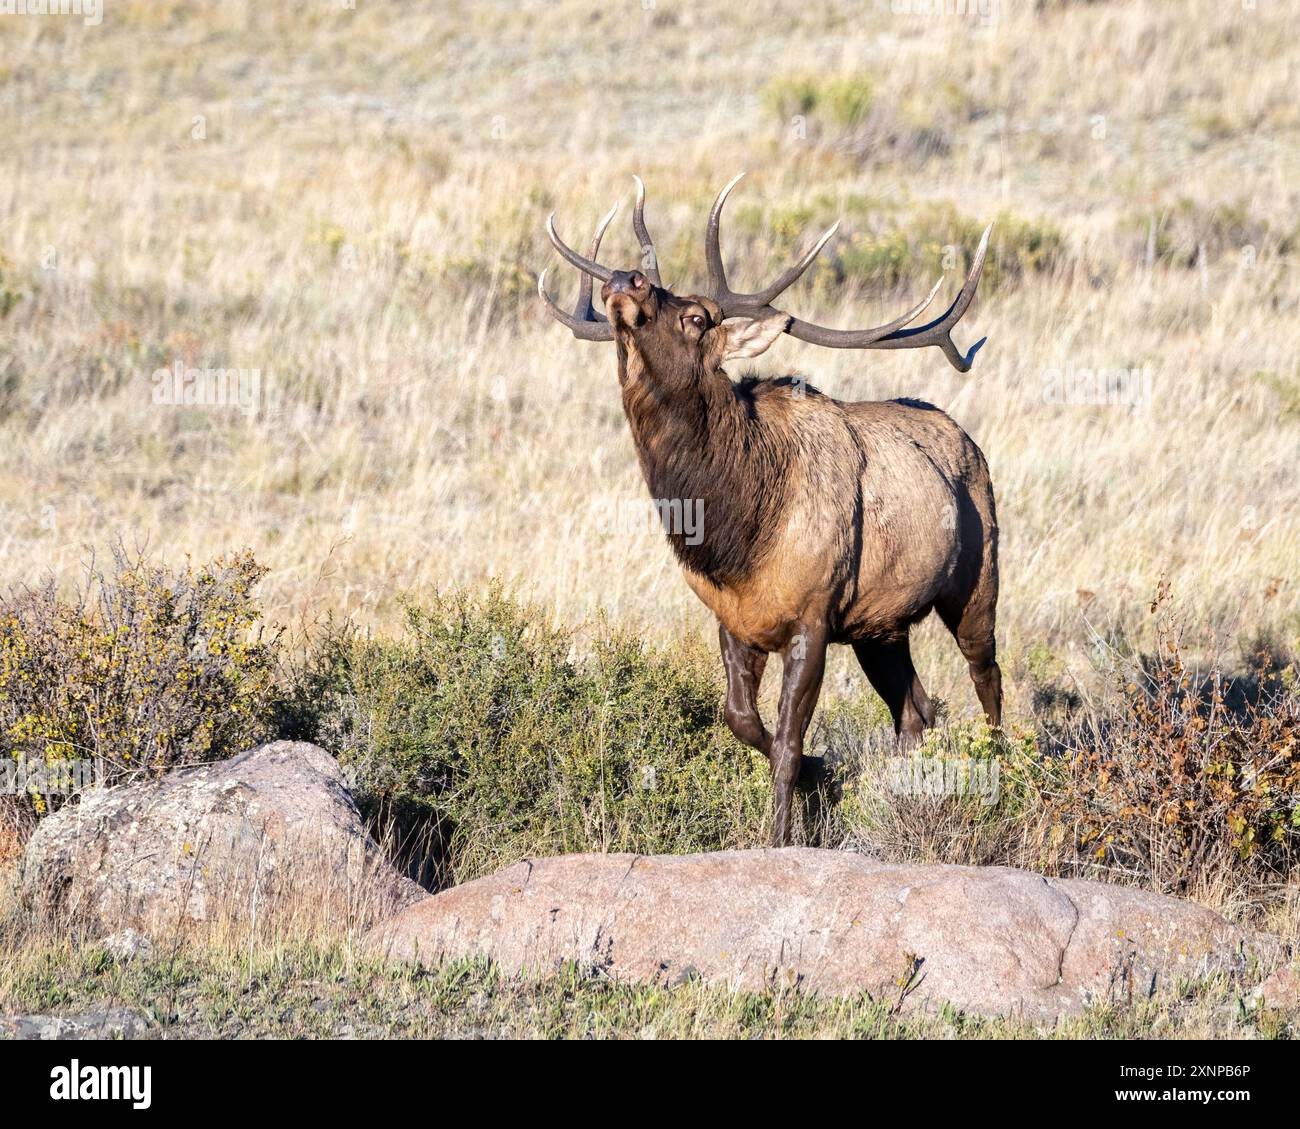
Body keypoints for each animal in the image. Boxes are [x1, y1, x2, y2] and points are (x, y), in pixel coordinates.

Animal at [537, 175, 1000, 846]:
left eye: (699, 316)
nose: (628, 277)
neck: (738, 537)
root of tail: (968, 439)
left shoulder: (813, 618)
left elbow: (784, 741)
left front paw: (781, 831)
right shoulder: (734, 622)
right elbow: (740, 720)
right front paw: (823, 776)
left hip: (976, 579)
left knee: (986, 676)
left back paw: (1004, 765)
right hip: (880, 627)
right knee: (916, 709)